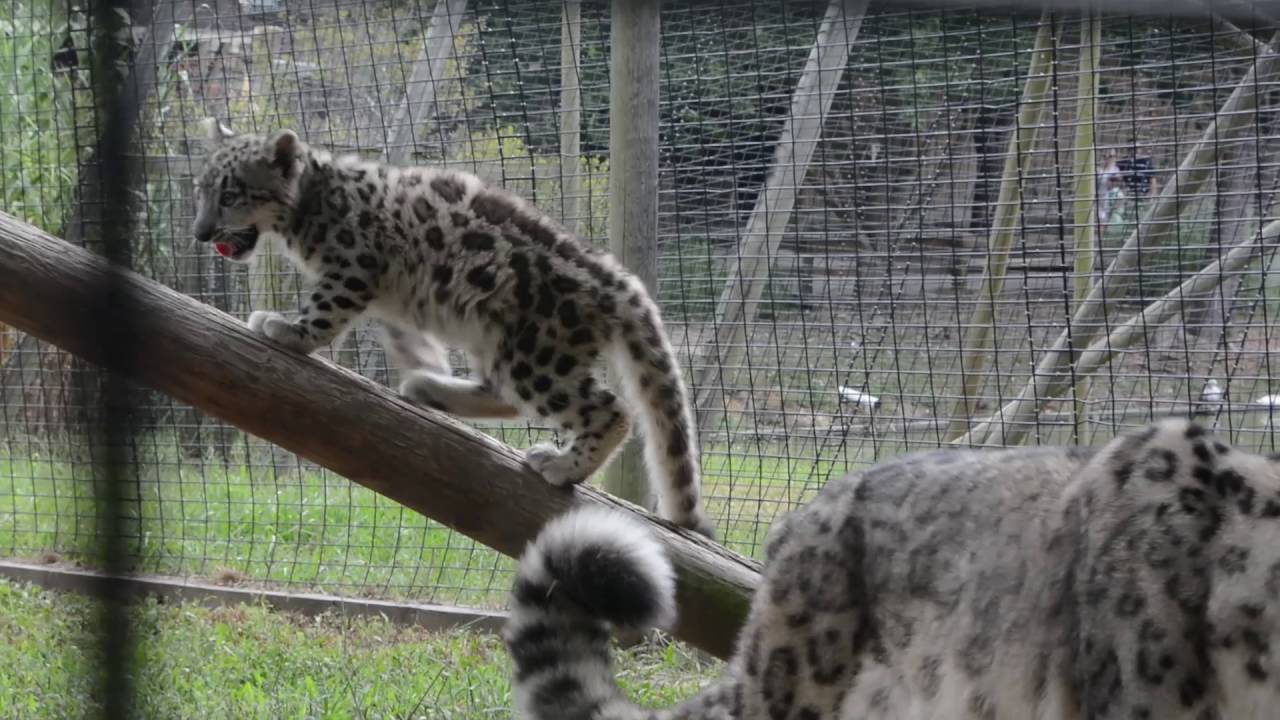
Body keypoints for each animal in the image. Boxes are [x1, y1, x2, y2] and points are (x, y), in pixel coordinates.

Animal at [190, 118, 713, 538]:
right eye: (201, 190)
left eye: (230, 194)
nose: (200, 232)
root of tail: (620, 281)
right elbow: (398, 331)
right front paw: (423, 358)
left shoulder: (353, 264)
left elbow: (325, 309)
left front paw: (287, 329)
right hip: (499, 344)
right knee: (503, 393)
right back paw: (430, 387)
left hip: (538, 355)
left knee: (610, 409)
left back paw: (563, 466)